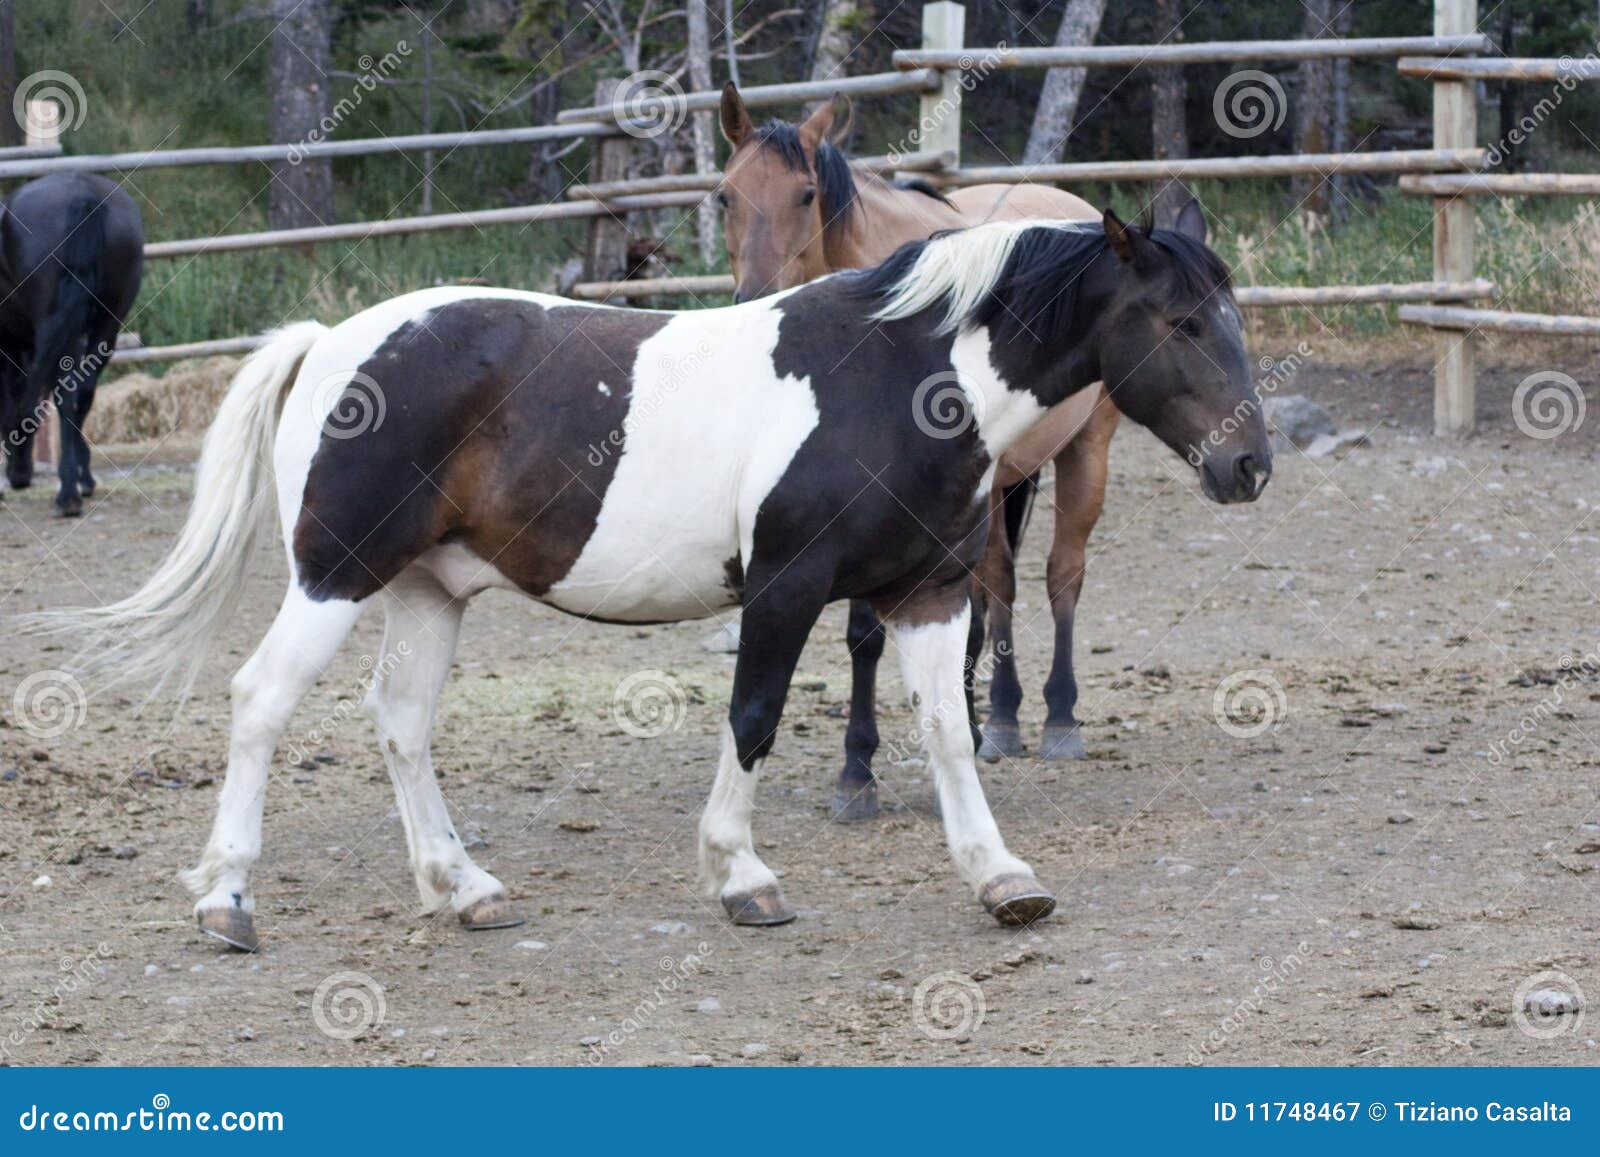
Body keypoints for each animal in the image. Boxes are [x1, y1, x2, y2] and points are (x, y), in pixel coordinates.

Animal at [0, 172, 144, 516]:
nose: (19, 477)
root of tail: (81, 192)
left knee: (64, 392)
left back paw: (67, 494)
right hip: (107, 325)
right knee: (83, 391)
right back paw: (82, 480)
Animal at [35, 213, 1270, 952]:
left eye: (1232, 316)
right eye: (1176, 320)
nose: (1249, 465)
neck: (902, 378)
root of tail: (335, 343)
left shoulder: (930, 592)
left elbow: (952, 736)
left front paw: (1001, 875)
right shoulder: (786, 586)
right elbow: (754, 717)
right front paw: (740, 875)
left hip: (429, 589)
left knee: (399, 722)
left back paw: (462, 886)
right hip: (335, 573)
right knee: (259, 702)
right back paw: (226, 899)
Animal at [717, 85, 1129, 825]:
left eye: (804, 194)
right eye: (724, 197)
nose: (755, 301)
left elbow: (874, 630)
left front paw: (859, 769)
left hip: (1087, 451)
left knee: (1062, 577)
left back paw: (1058, 717)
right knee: (998, 587)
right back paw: (997, 719)